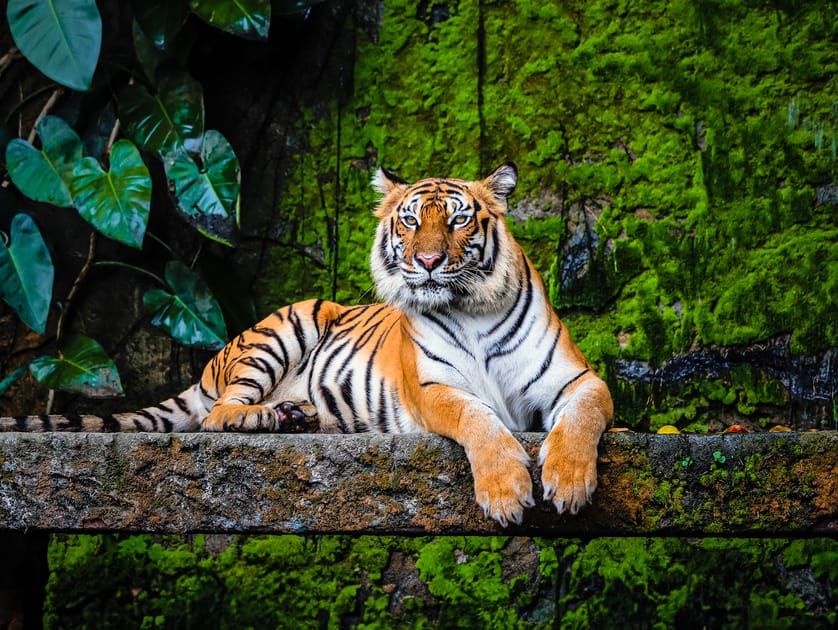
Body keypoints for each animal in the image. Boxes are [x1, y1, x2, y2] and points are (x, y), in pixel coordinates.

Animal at [2, 163, 613, 527]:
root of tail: (210, 364)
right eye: (410, 221)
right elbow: (480, 421)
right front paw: (508, 493)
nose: (428, 261)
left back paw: (299, 415)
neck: (469, 307)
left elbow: (581, 419)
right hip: (286, 327)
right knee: (218, 415)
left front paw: (569, 484)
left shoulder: (579, 380)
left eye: (461, 220)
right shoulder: (435, 388)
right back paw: (266, 417)